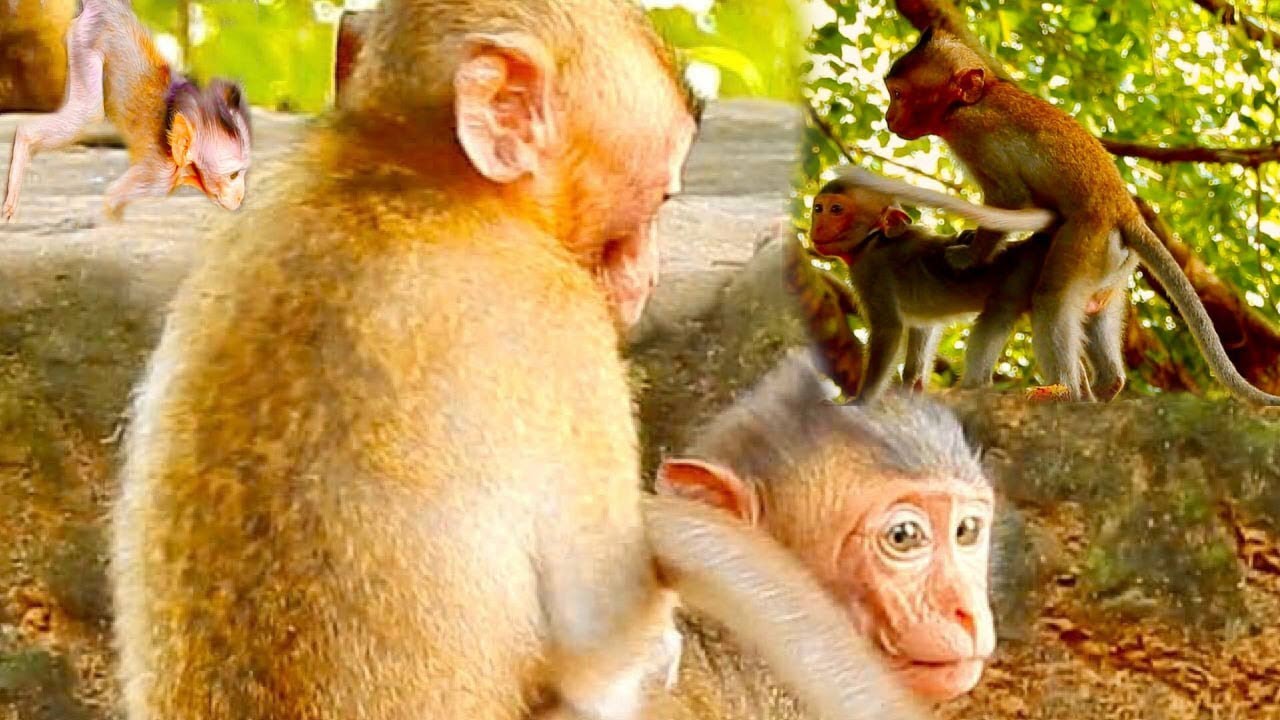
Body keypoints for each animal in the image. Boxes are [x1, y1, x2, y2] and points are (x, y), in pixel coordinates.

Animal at [2, 0, 251, 222]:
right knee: (88, 113)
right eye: (233, 175)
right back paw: (24, 140)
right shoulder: (157, 177)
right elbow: (112, 201)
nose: (240, 197)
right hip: (88, 38)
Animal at [808, 175, 1131, 403]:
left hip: (1036, 272)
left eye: (836, 210)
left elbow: (889, 329)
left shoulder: (871, 272)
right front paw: (913, 385)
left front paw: (862, 400)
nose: (817, 226)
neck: (872, 240)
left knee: (1002, 312)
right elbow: (924, 325)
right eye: (818, 208)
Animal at [878, 26, 1280, 405]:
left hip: (1087, 237)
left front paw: (971, 255)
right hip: (1113, 262)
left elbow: (1010, 198)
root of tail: (1125, 212)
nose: (887, 117)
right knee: (1098, 310)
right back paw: (1105, 384)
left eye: (898, 94)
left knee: (1051, 300)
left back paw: (1066, 391)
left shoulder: (972, 133)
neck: (975, 98)